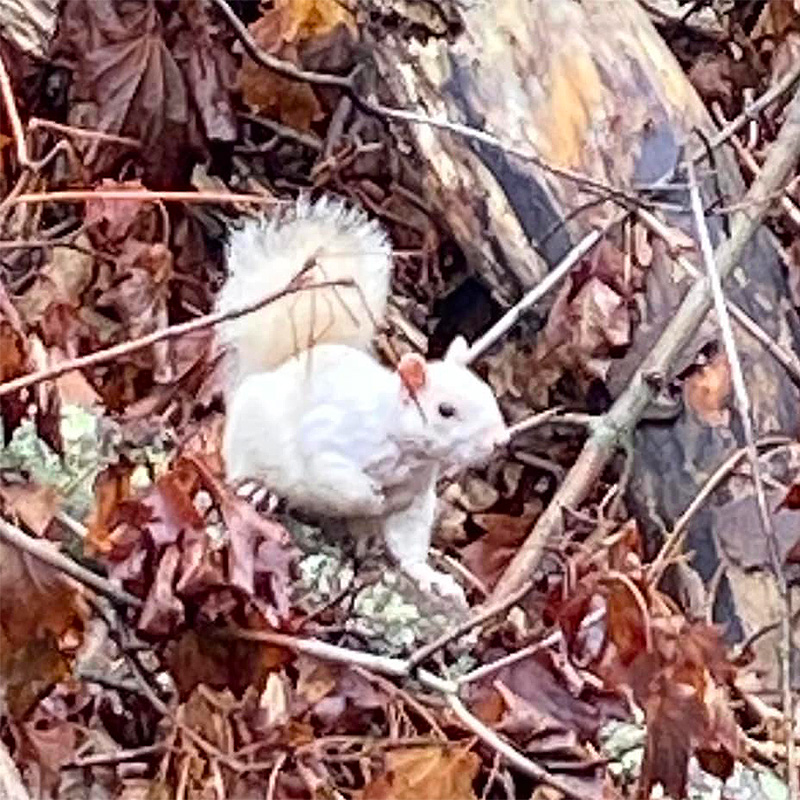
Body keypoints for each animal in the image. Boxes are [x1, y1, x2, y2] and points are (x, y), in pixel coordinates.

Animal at [215, 195, 510, 603]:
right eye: (446, 410)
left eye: (488, 393)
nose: (500, 441)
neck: (406, 449)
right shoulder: (331, 443)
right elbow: (339, 479)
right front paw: (372, 500)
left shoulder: (417, 495)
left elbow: (409, 540)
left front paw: (431, 577)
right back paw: (262, 488)